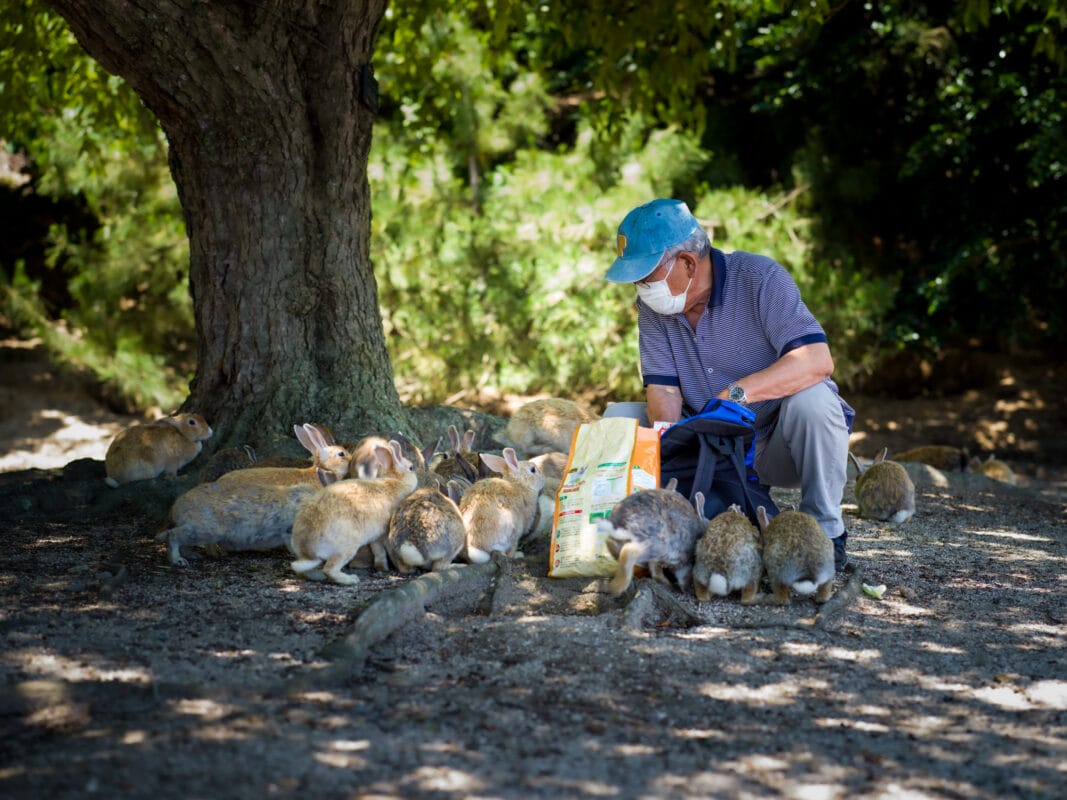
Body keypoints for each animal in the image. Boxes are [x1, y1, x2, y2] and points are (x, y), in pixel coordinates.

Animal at [157, 478, 319, 566]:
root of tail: (177, 505)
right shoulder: (290, 531)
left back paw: (192, 555)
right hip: (206, 529)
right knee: (173, 536)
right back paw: (178, 560)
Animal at [290, 439, 418, 585]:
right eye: (411, 468)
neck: (397, 481)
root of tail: (308, 550)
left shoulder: (376, 536)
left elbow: (378, 550)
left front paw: (382, 567)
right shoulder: (386, 532)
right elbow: (390, 550)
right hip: (347, 547)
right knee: (330, 569)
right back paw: (351, 579)